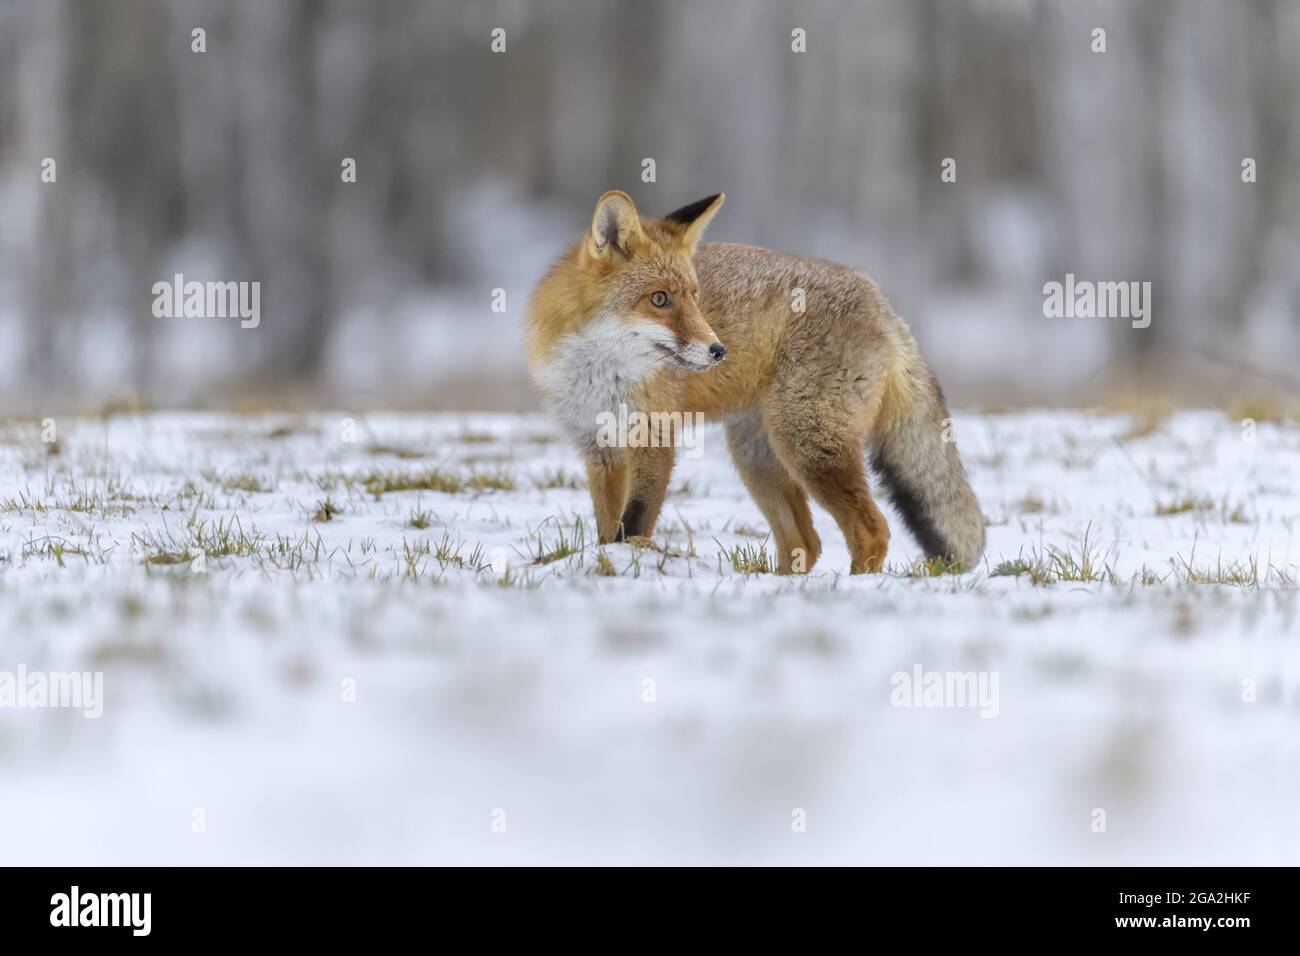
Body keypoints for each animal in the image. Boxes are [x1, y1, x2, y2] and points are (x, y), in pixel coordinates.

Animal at [524, 190, 985, 574]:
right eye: (659, 299)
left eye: (694, 296)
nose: (717, 350)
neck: (600, 372)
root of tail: (883, 302)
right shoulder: (598, 451)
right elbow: (607, 530)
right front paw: (605, 560)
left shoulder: (654, 440)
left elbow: (632, 524)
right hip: (758, 458)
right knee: (805, 543)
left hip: (808, 446)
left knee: (872, 530)